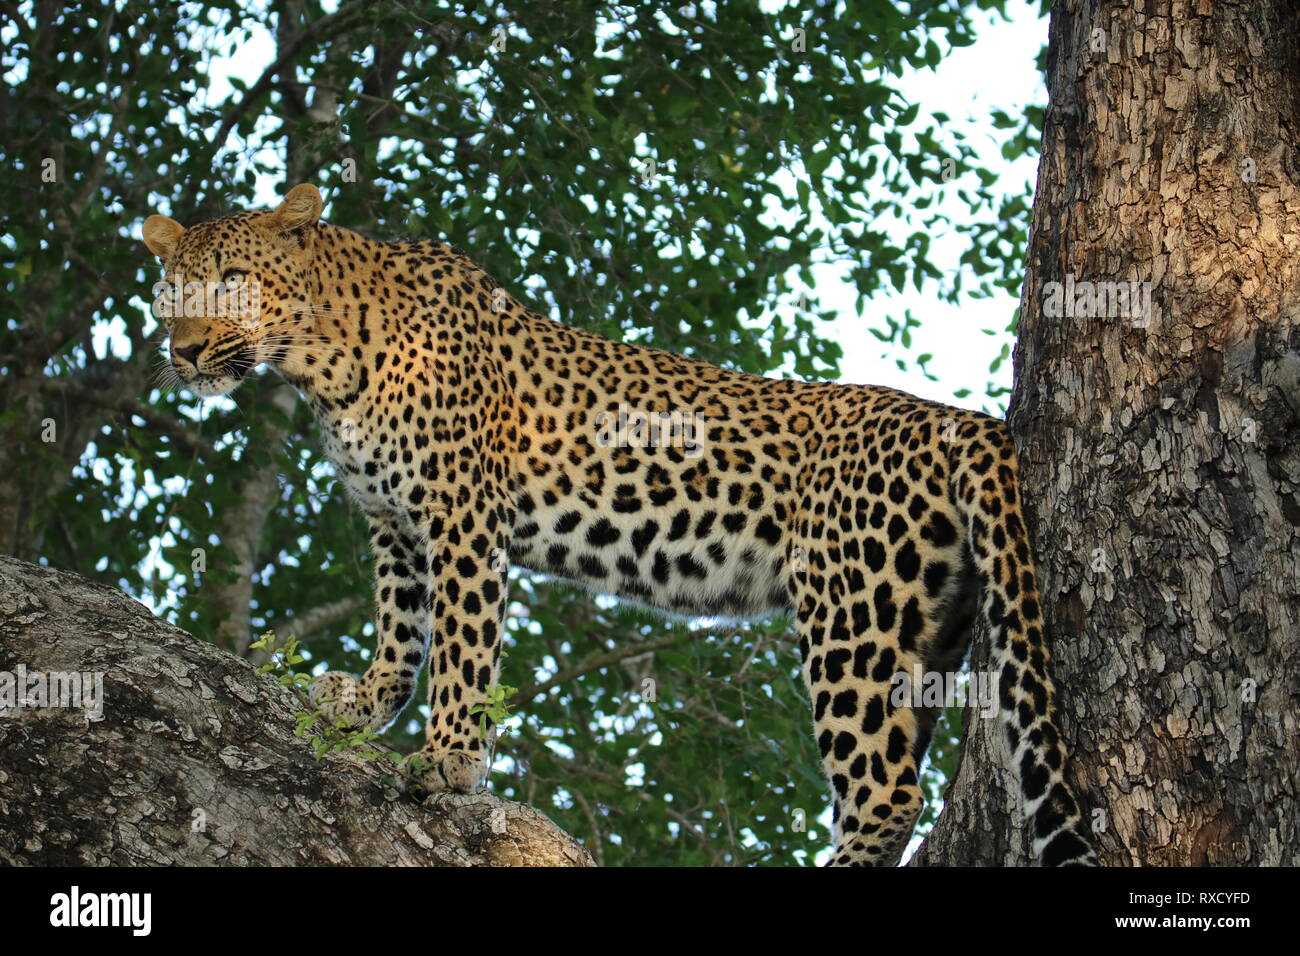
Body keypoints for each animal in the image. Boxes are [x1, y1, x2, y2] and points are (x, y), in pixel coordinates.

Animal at [142, 183, 1097, 866]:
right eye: (168, 295)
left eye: (231, 284)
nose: (183, 353)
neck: (322, 361)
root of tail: (957, 419)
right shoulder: (395, 524)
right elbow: (400, 634)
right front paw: (362, 704)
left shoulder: (461, 515)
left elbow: (459, 645)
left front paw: (447, 759)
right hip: (929, 626)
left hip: (852, 611)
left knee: (885, 789)